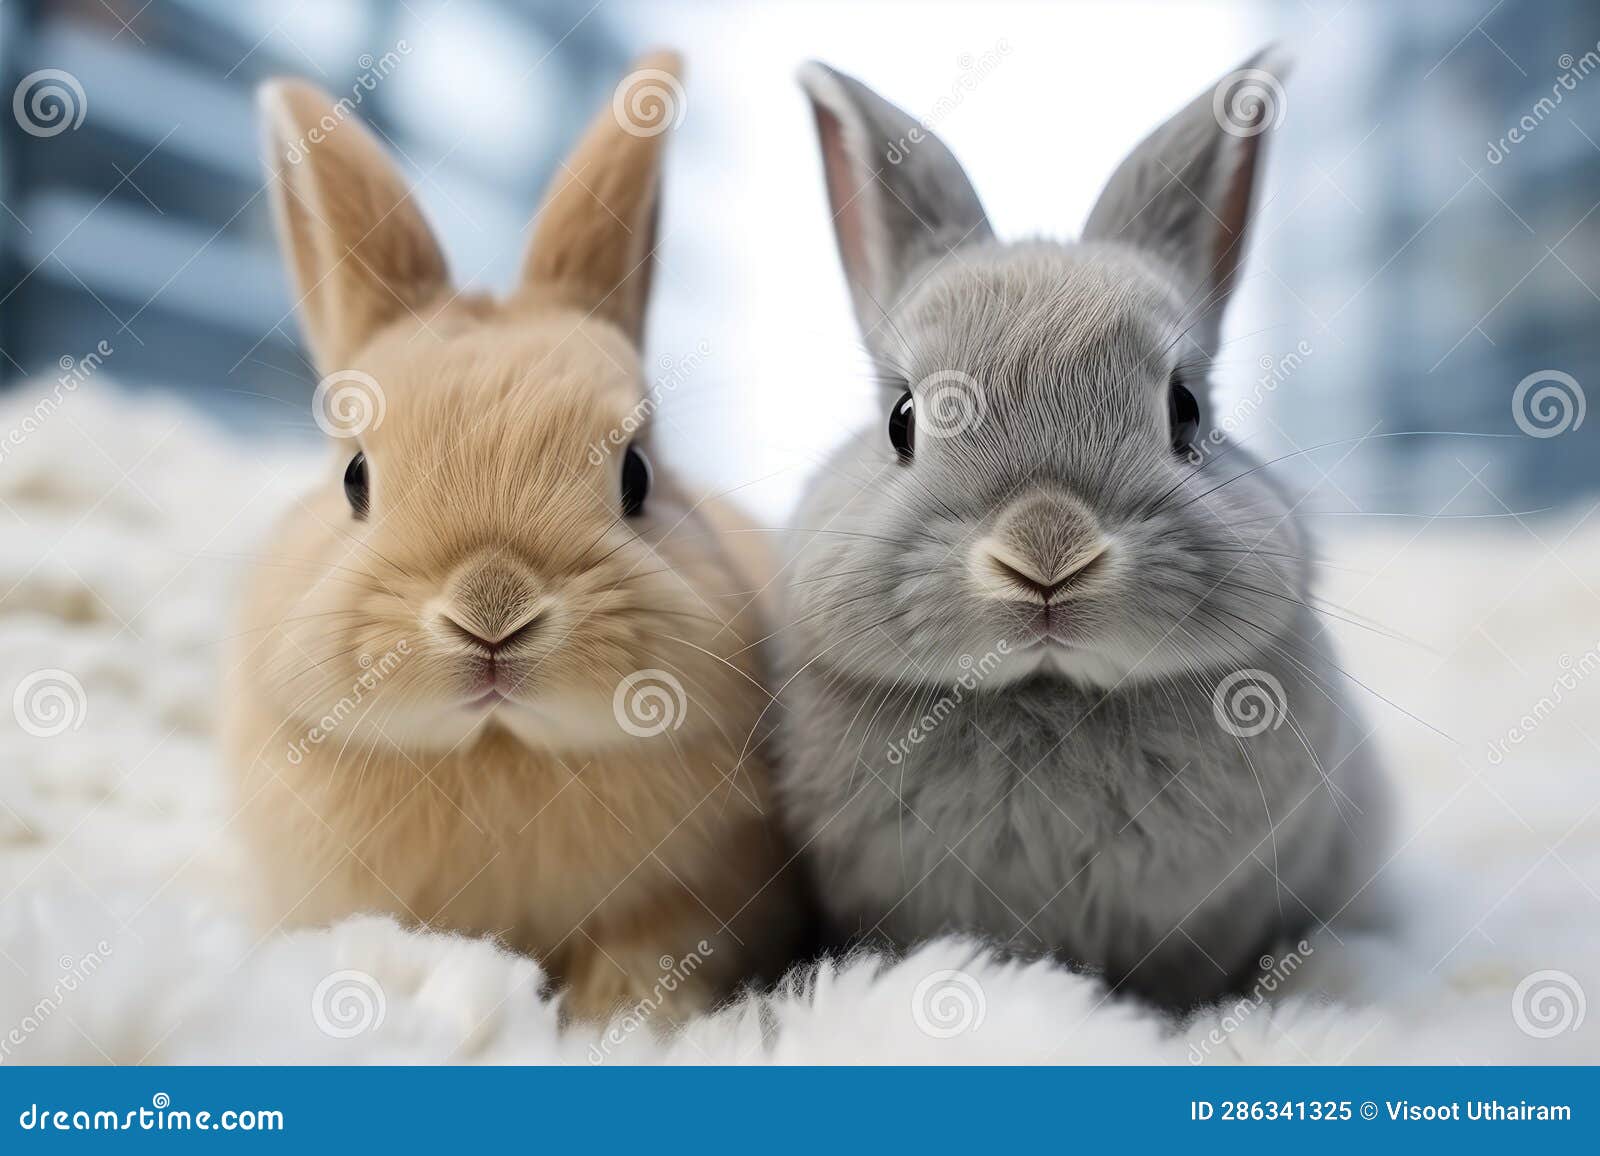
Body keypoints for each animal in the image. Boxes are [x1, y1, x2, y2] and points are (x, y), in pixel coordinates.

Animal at [225, 52, 804, 1024]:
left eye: (637, 478)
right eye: (355, 480)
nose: (491, 613)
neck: (502, 753)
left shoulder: (699, 903)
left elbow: (649, 956)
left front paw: (622, 1019)